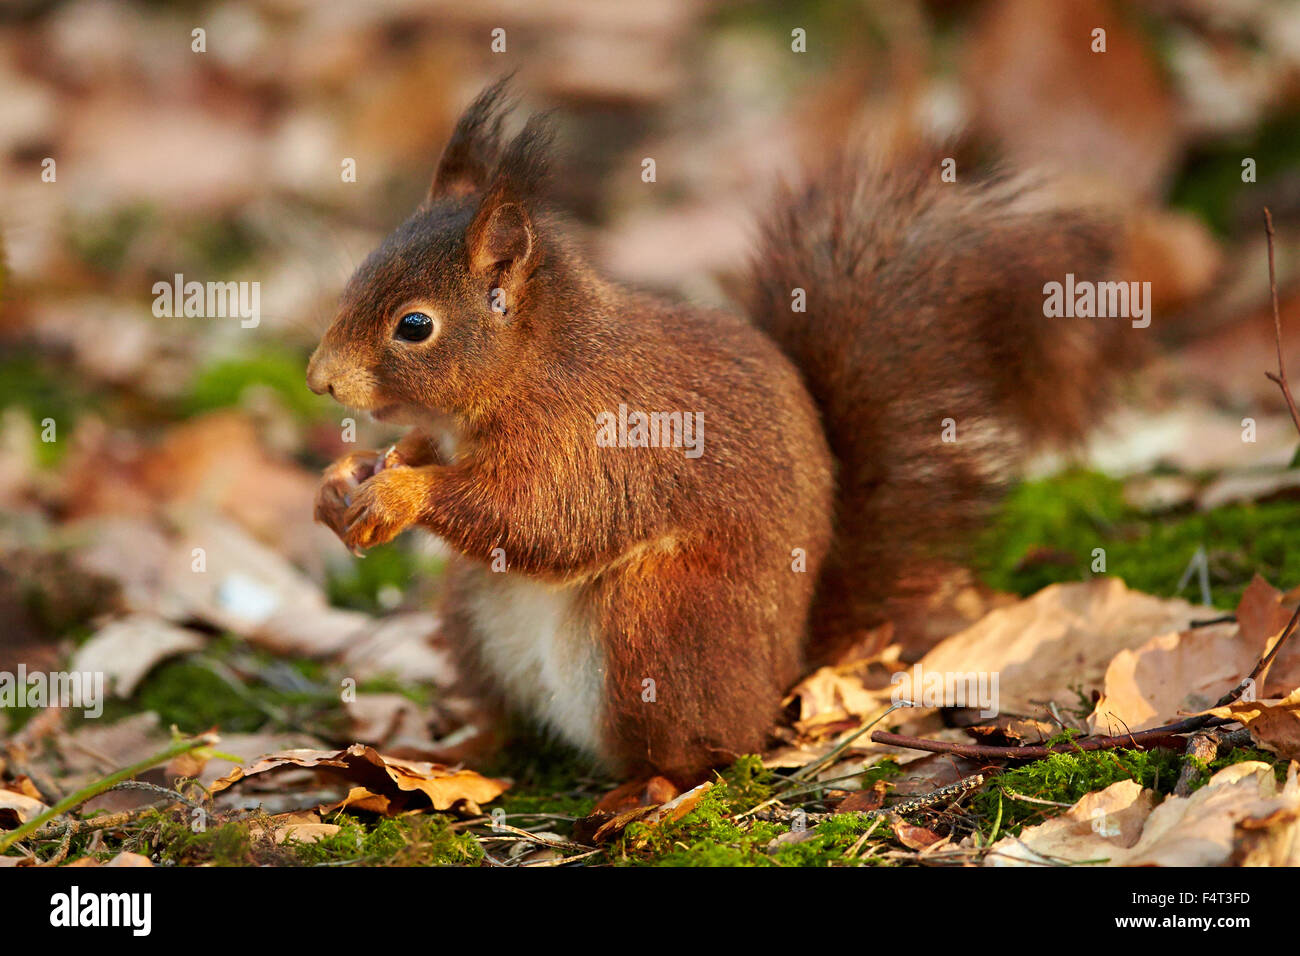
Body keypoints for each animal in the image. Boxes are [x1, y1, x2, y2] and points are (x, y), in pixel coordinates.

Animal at [306, 79, 1135, 786]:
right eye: (356, 278)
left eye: (415, 326)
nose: (320, 380)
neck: (532, 366)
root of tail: (783, 671)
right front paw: (343, 484)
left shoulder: (597, 440)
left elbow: (543, 518)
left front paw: (399, 494)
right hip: (477, 619)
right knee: (513, 722)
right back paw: (450, 750)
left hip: (658, 625)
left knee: (695, 755)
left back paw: (640, 797)